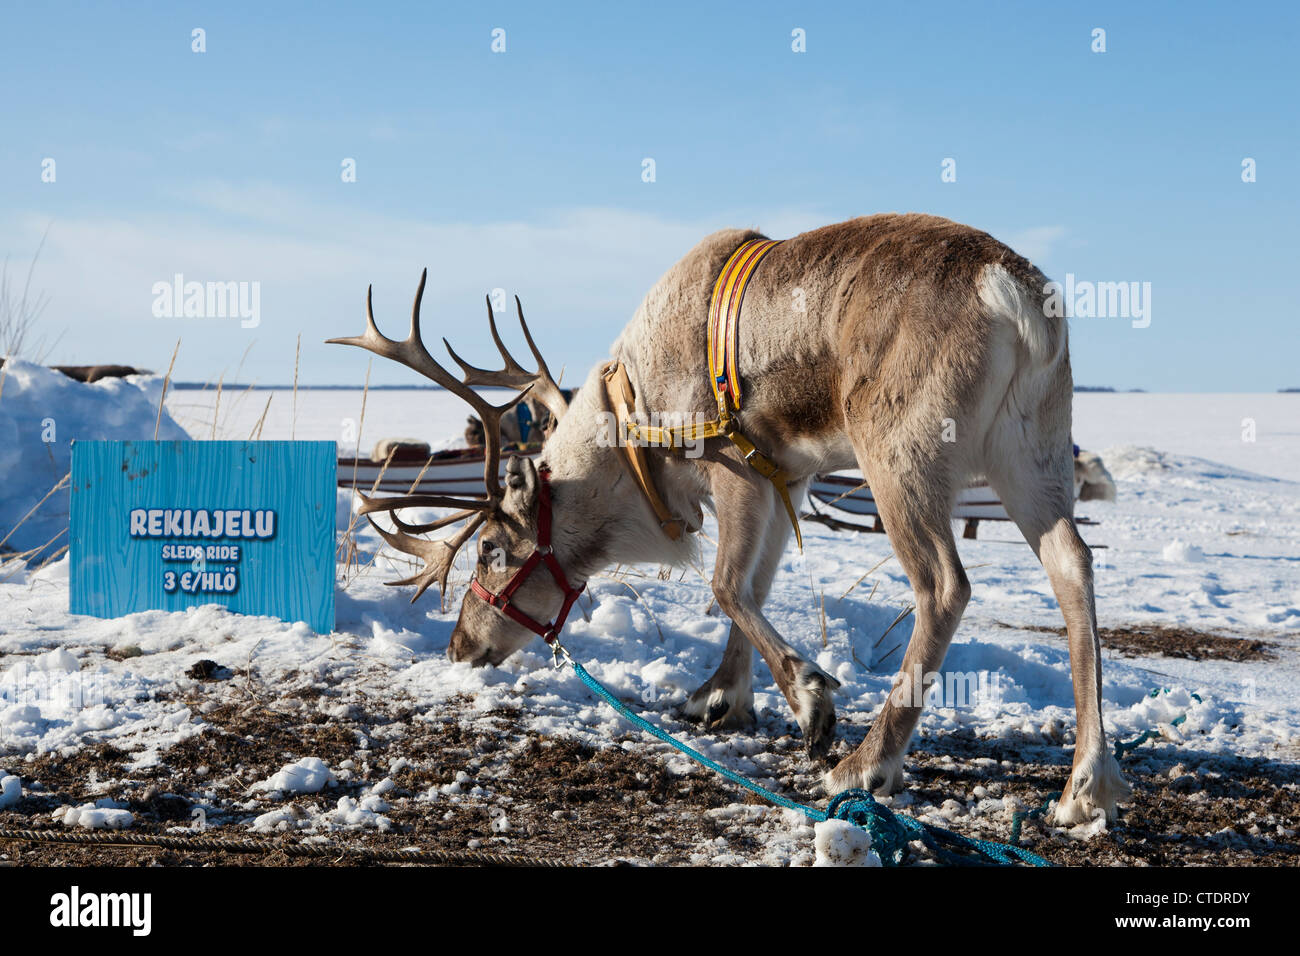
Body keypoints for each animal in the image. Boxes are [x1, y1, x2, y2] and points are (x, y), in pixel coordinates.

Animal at [328, 213, 1131, 827]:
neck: (632, 439)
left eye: (493, 548)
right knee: (1073, 564)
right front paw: (722, 696)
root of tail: (1011, 291)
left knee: (944, 585)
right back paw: (1084, 785)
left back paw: (864, 764)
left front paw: (809, 699)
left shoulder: (733, 467)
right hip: (1032, 447)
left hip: (900, 452)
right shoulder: (788, 477)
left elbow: (724, 585)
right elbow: (757, 583)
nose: (460, 646)